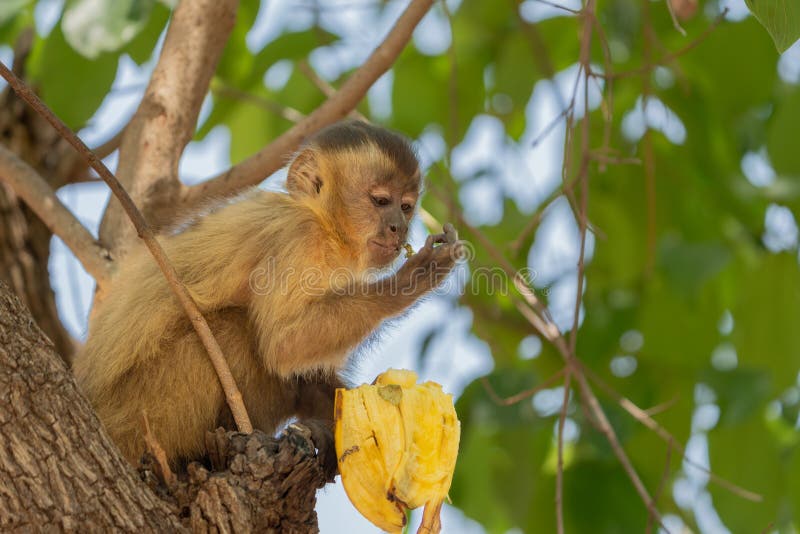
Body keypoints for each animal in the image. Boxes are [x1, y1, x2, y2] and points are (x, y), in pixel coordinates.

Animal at [72, 121, 463, 474]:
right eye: (380, 201)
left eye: (407, 206)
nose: (399, 227)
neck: (324, 225)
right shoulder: (297, 237)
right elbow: (281, 345)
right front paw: (407, 283)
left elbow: (309, 370)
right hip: (138, 418)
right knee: (235, 331)